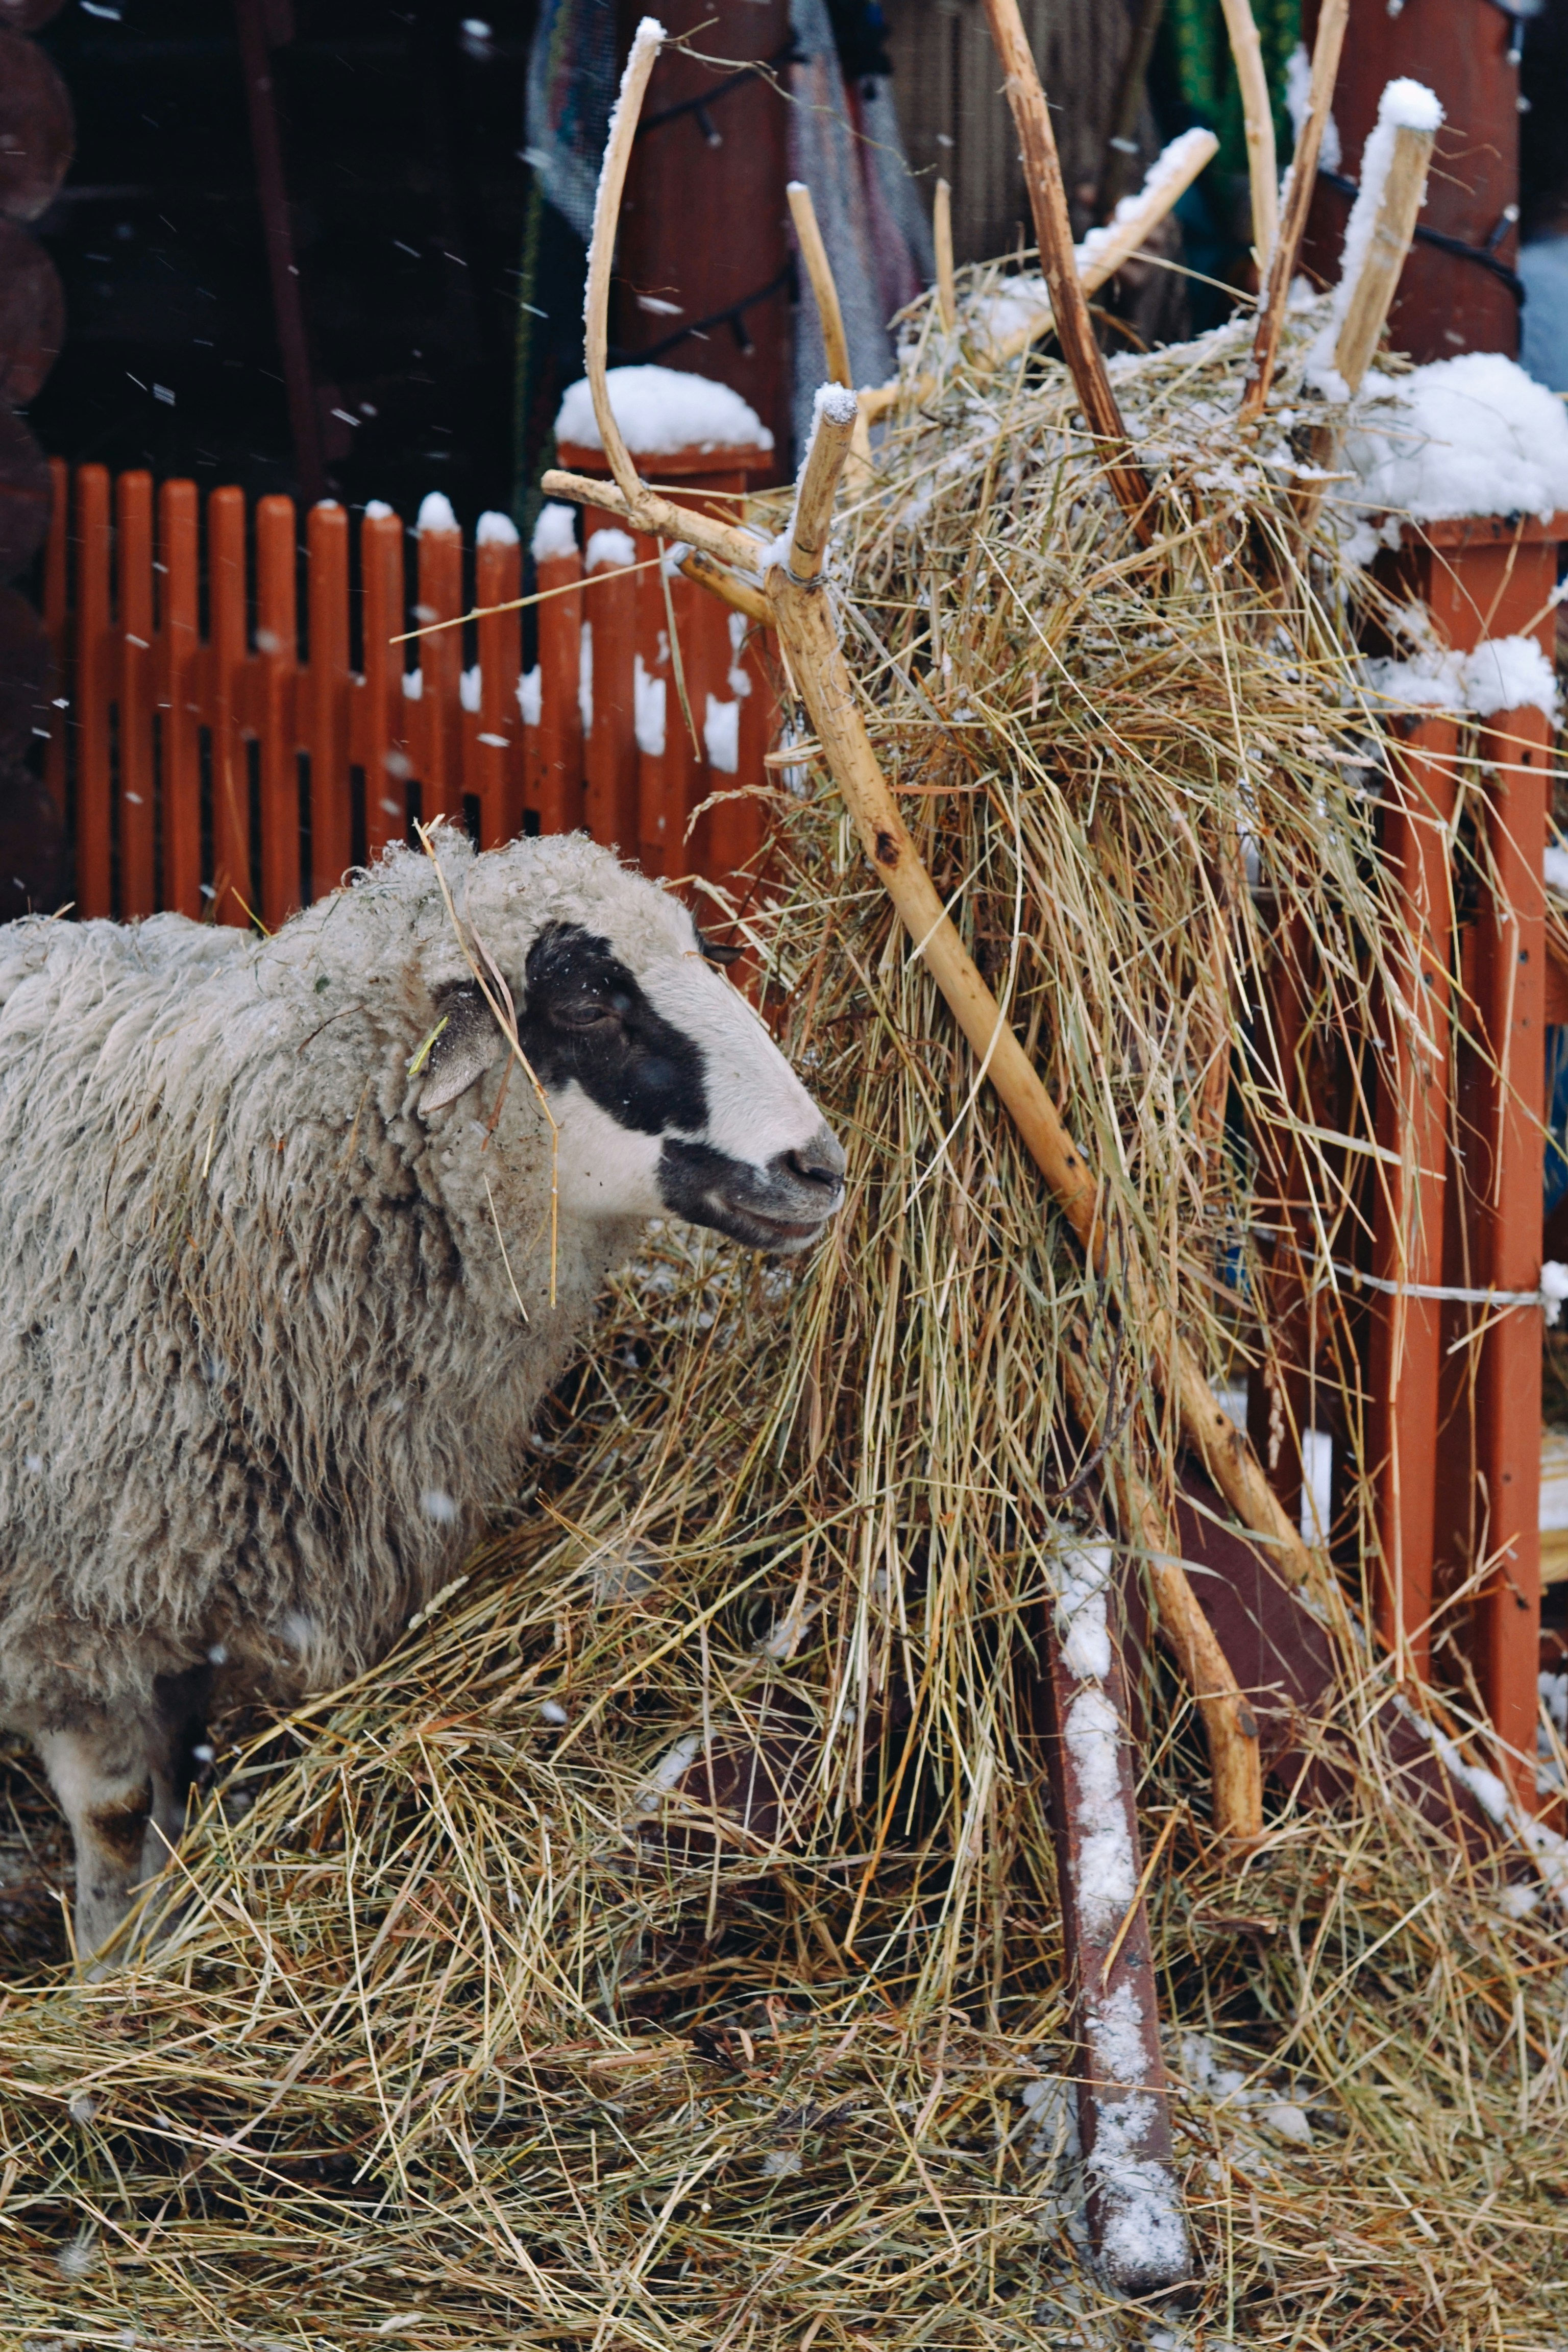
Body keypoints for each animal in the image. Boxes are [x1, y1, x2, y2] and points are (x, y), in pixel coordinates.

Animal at [0, 827, 844, 1961]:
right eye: (586, 1003)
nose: (819, 1170)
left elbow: (182, 1800)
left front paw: (172, 1936)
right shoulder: (75, 1618)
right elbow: (118, 1823)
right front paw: (109, 1974)